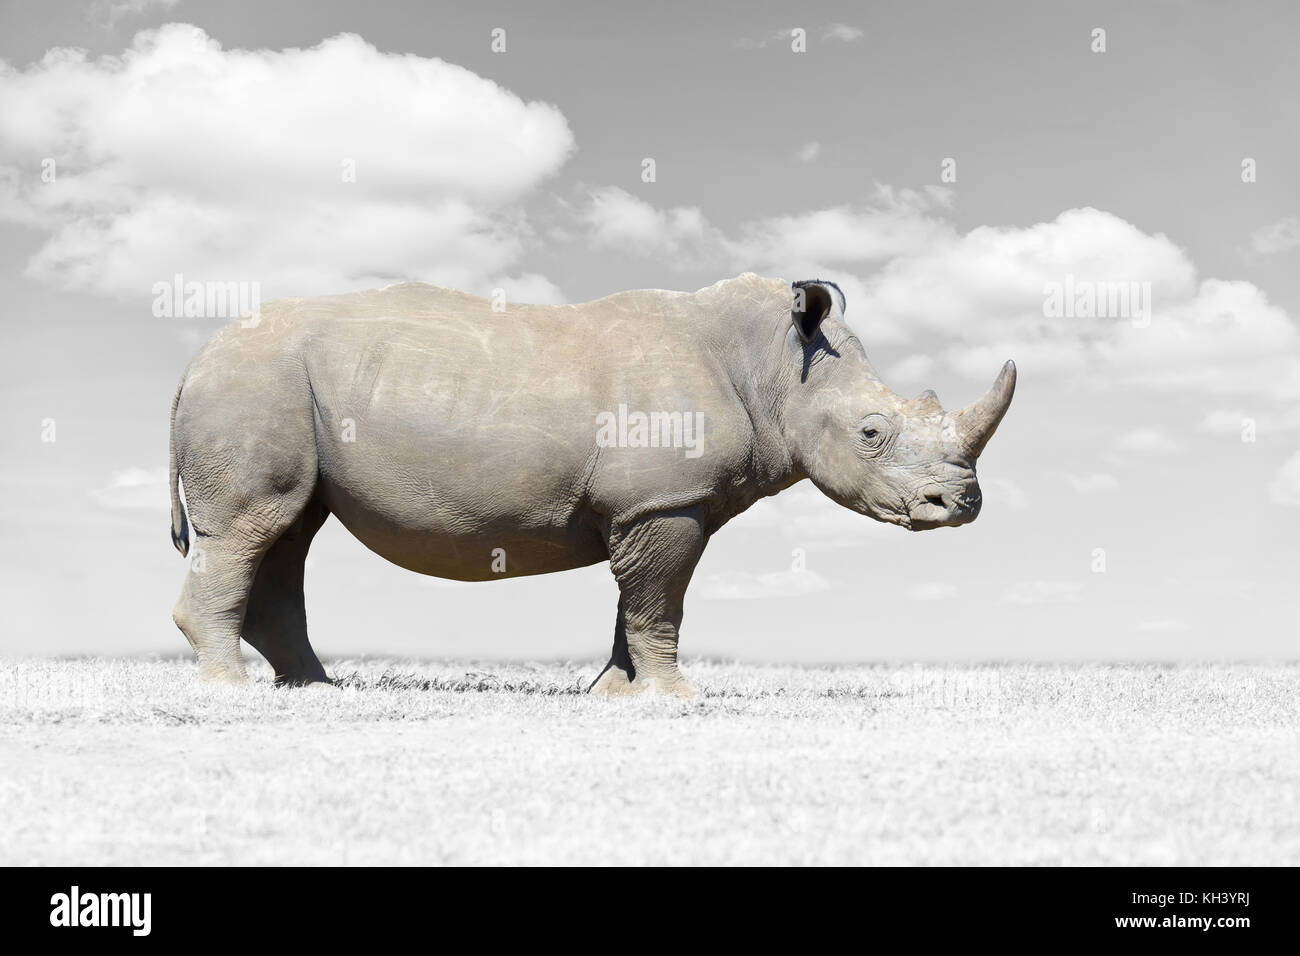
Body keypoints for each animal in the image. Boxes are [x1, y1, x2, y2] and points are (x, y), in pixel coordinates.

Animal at [168, 274, 1015, 694]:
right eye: (872, 434)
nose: (961, 506)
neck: (775, 367)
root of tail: (196, 357)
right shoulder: (666, 500)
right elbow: (660, 600)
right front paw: (674, 699)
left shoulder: (650, 503)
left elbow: (635, 600)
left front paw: (613, 693)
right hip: (255, 381)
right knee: (250, 529)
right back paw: (230, 690)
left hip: (274, 385)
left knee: (288, 533)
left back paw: (315, 689)